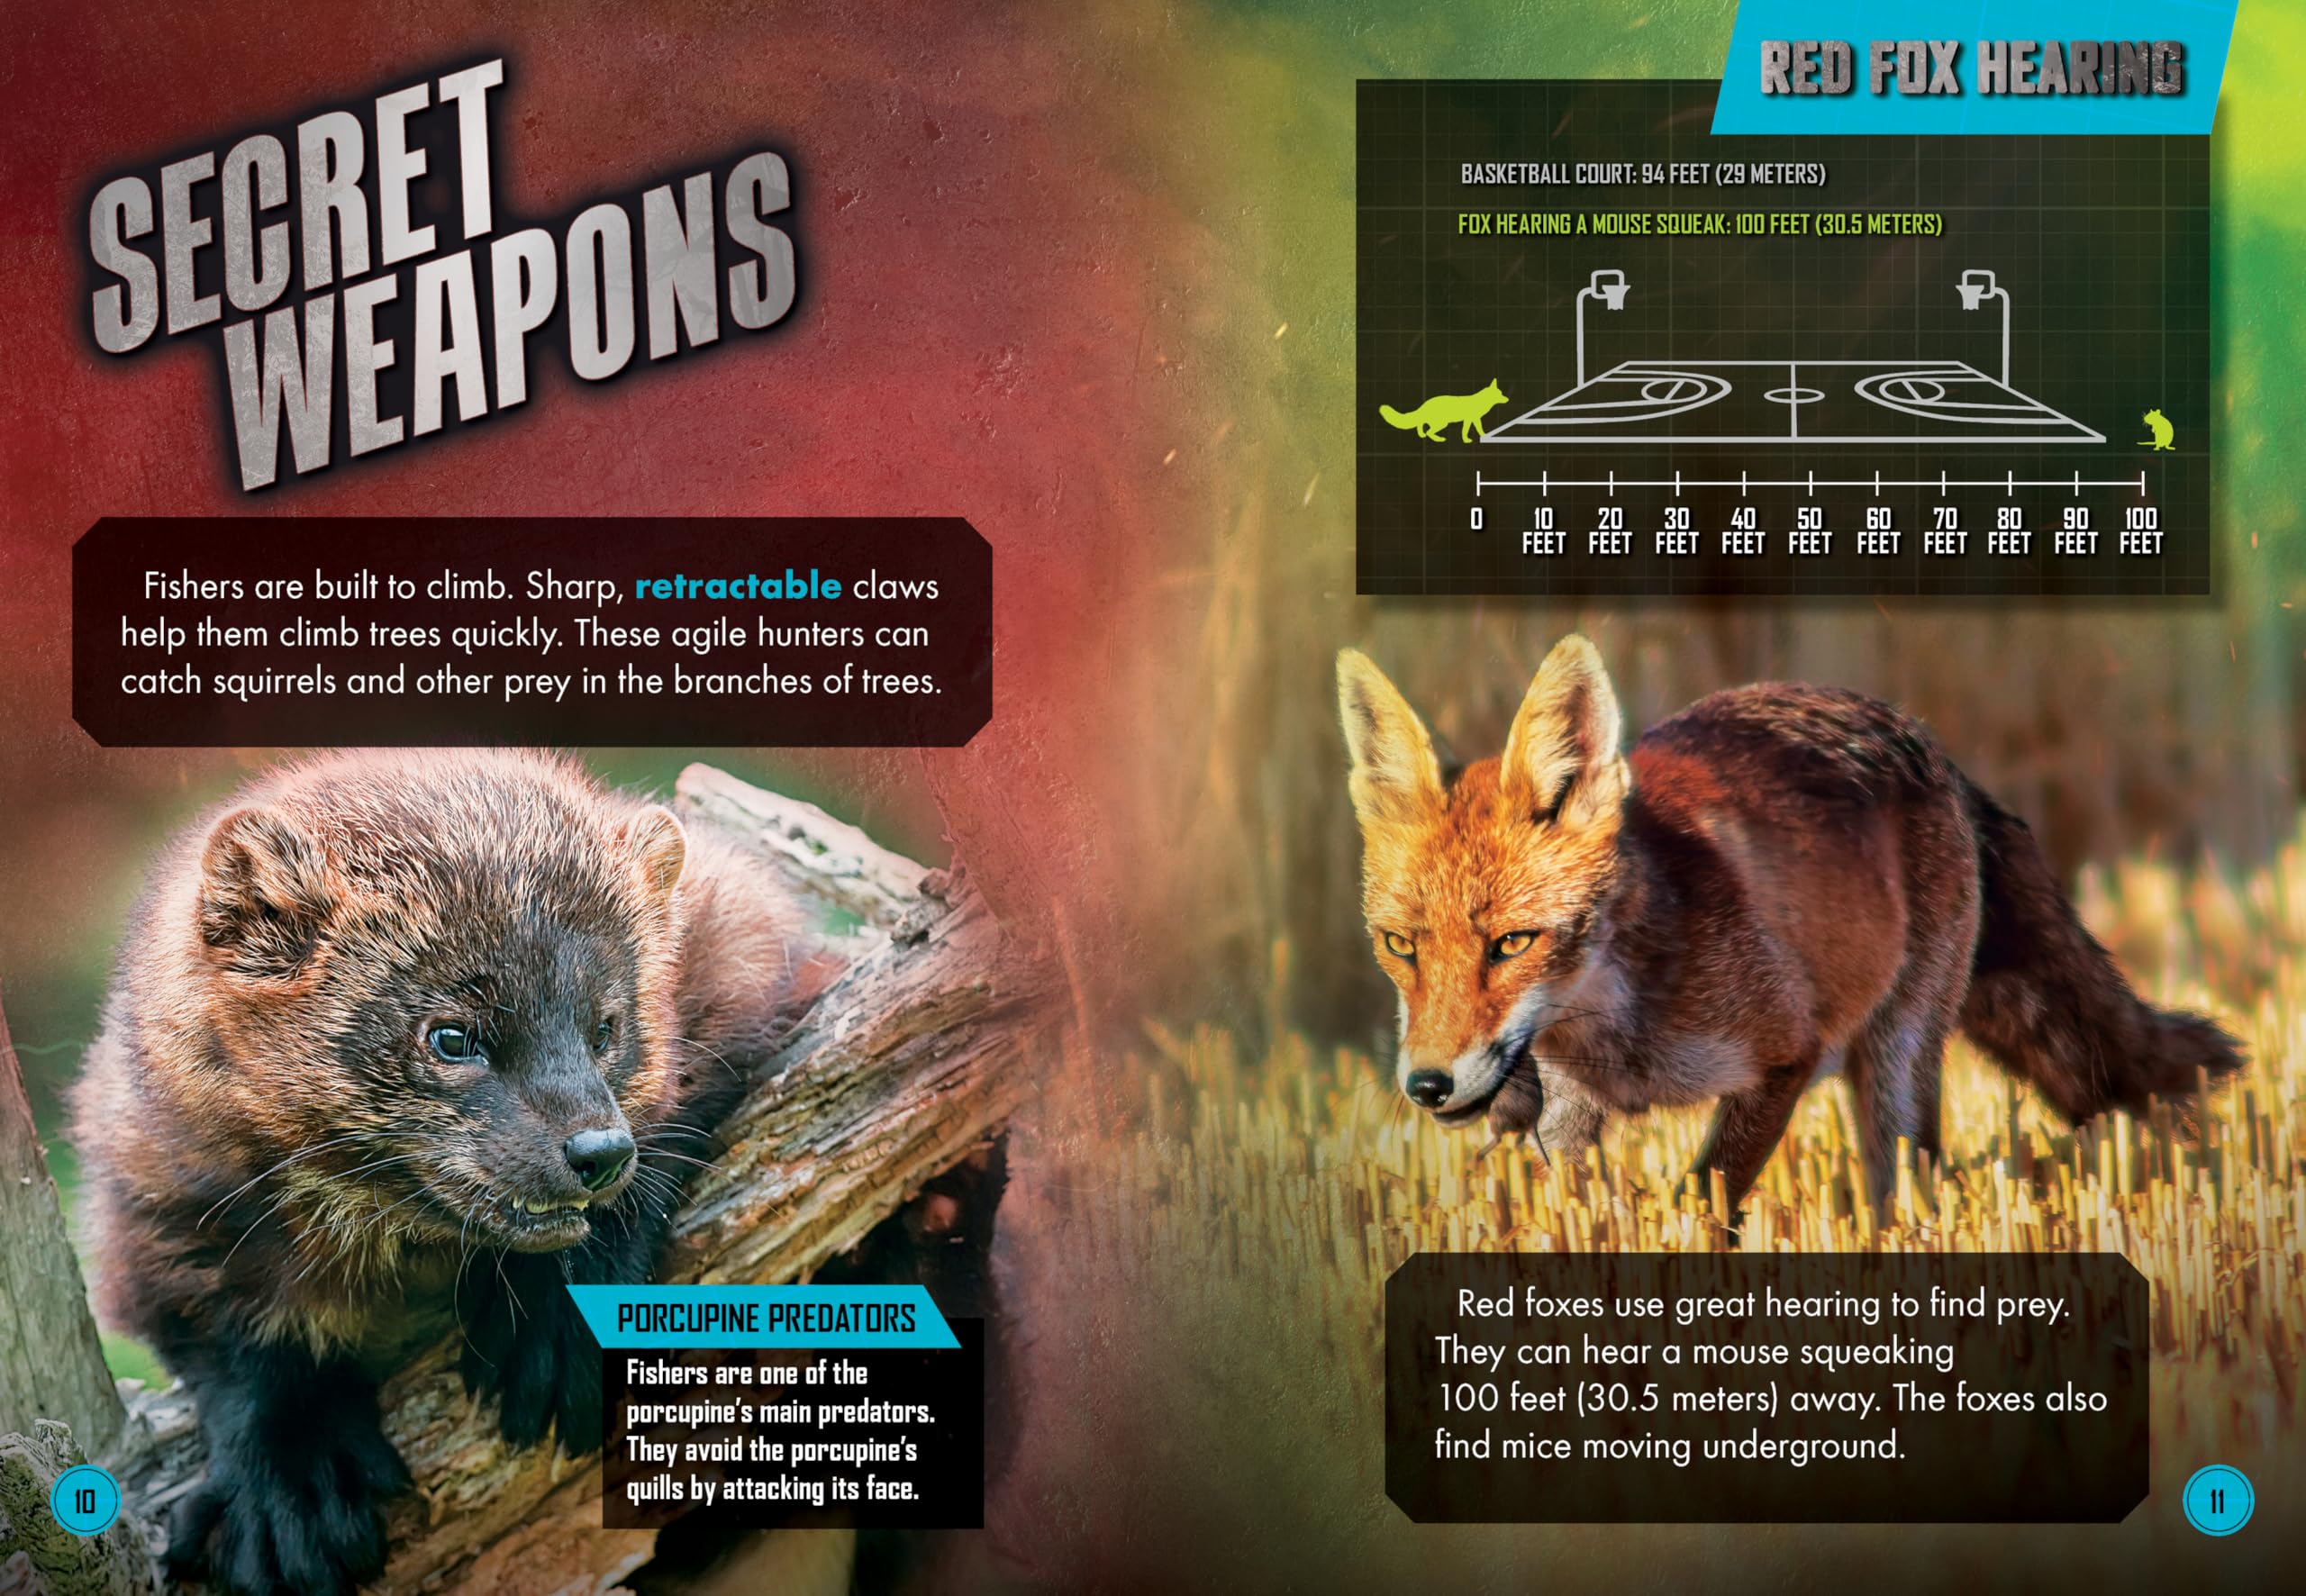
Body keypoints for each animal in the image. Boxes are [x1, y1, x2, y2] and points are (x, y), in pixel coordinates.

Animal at [1336, 635, 2244, 1209]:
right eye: (1399, 945)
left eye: (1513, 943)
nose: (1426, 1085)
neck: (1619, 1030)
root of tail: (1920, 734)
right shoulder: (1566, 1116)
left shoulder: (1785, 1056)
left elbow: (1705, 1196)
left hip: (1897, 1061)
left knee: (1905, 1184)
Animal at [1378, 379, 1508, 442]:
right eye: (1501, 394)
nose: (1508, 399)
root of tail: (1424, 404)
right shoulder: (1470, 420)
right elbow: (1467, 430)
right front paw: (1467, 440)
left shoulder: (1473, 419)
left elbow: (1477, 429)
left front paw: (1482, 435)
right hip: (1442, 424)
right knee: (1429, 431)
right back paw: (1438, 439)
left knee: (1421, 425)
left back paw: (1421, 435)